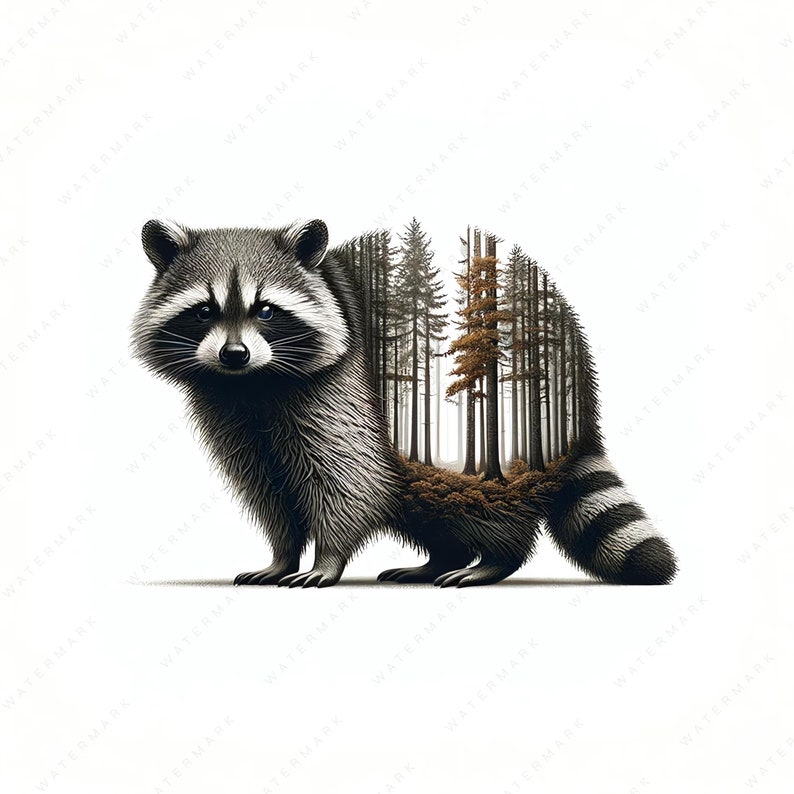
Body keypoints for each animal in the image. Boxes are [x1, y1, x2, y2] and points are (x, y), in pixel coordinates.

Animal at [131, 218, 676, 587]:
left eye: (265, 311)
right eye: (204, 311)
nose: (235, 354)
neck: (253, 386)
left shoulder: (341, 391)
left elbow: (352, 482)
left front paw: (327, 558)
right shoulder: (234, 416)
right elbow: (270, 493)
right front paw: (282, 553)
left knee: (484, 509)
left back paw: (496, 559)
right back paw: (440, 559)